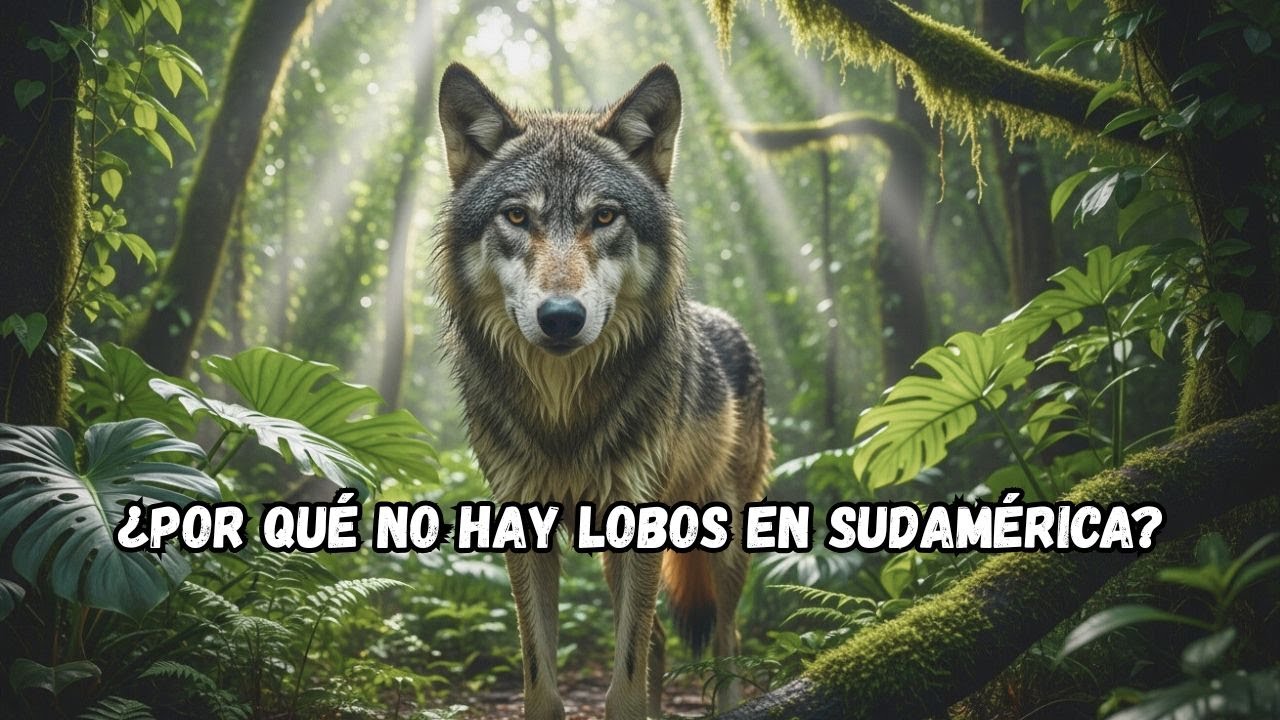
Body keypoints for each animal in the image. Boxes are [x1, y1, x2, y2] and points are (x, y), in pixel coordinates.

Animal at [433, 62, 772, 720]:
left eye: (605, 217)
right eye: (518, 217)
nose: (561, 317)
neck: (564, 413)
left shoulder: (640, 519)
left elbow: (625, 683)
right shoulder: (525, 525)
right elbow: (542, 679)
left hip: (721, 539)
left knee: (727, 633)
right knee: (659, 634)